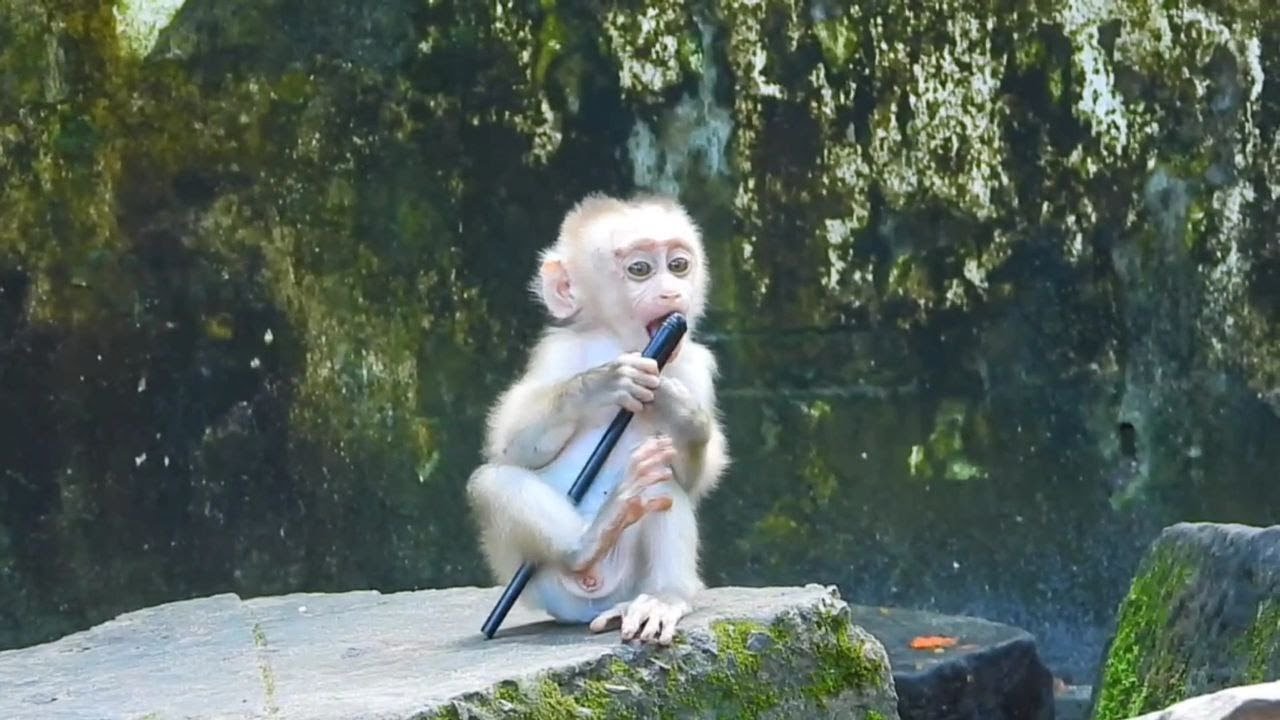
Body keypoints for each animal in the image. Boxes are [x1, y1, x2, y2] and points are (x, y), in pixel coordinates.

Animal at [466, 192, 729, 646]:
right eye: (640, 270)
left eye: (679, 265)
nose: (671, 293)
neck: (619, 339)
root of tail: (589, 603)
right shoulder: (557, 351)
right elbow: (511, 443)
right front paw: (606, 382)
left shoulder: (695, 366)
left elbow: (693, 476)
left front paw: (680, 412)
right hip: (541, 584)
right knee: (492, 482)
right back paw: (588, 540)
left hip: (629, 583)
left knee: (662, 480)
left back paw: (663, 597)